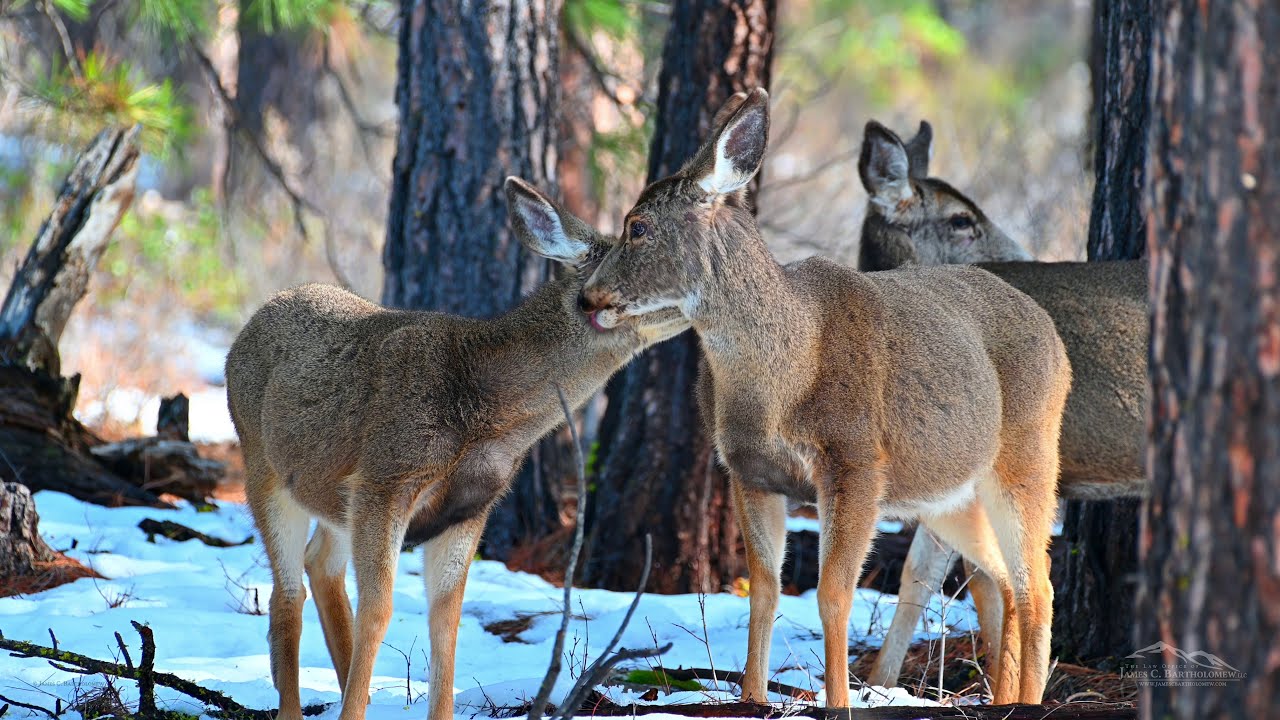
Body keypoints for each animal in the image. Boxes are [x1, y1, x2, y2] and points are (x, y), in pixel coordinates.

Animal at [224, 178, 688, 720]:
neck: (491, 419)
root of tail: (255, 318)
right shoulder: (386, 478)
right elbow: (379, 610)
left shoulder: (467, 508)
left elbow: (446, 620)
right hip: (261, 465)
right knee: (287, 591)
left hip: (334, 498)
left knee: (319, 565)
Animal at [577, 88, 1072, 706]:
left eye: (637, 226)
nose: (587, 295)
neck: (780, 378)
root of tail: (1054, 337)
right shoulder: (749, 473)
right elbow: (764, 588)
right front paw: (752, 698)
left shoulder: (854, 461)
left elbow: (832, 594)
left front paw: (839, 702)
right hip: (946, 492)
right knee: (1002, 578)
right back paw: (1001, 698)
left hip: (1027, 454)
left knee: (1038, 585)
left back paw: (1026, 700)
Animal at [854, 120, 1147, 690]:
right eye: (961, 219)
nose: (1029, 257)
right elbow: (921, 575)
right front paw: (880, 683)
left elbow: (981, 577)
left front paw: (1001, 680)